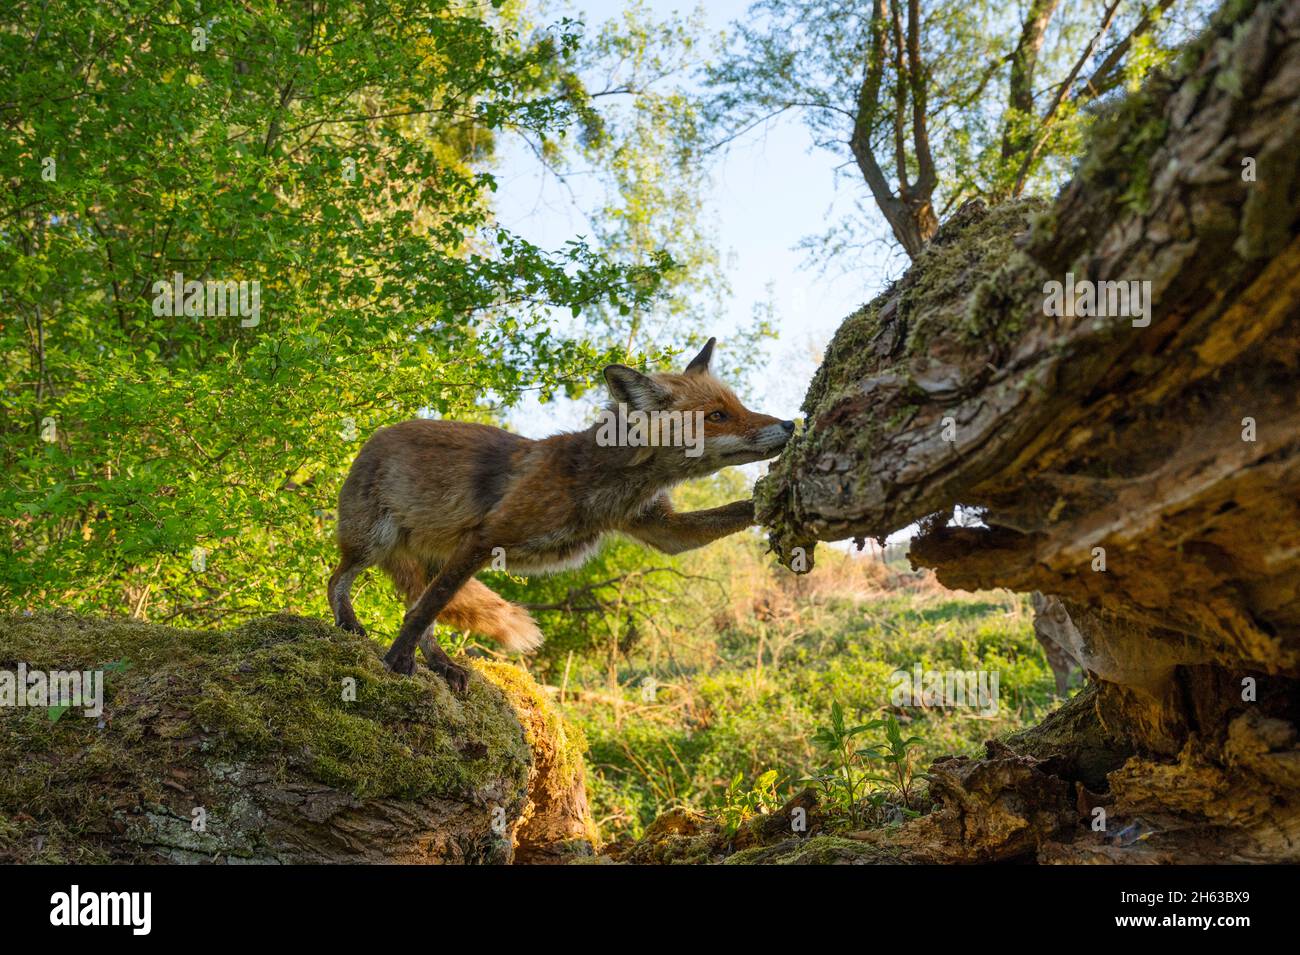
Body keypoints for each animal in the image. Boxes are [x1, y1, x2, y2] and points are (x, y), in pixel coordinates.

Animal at [328, 337, 794, 689]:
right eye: (717, 415)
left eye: (740, 406)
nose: (791, 424)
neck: (605, 481)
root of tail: (375, 437)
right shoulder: (485, 538)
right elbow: (426, 610)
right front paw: (396, 661)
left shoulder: (660, 528)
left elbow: (732, 513)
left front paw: (780, 495)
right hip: (375, 541)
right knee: (343, 582)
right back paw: (351, 625)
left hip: (427, 557)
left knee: (418, 610)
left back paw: (443, 663)